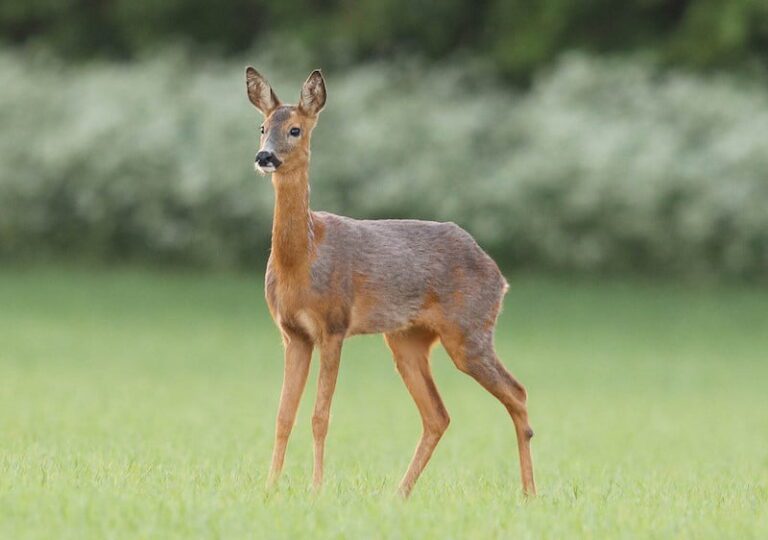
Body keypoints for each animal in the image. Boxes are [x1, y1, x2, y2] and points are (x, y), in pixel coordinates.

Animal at [246, 67, 536, 498]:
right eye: (262, 127)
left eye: (295, 129)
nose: (265, 156)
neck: (303, 259)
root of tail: (499, 277)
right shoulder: (292, 333)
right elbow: (284, 415)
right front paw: (269, 488)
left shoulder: (334, 325)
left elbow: (320, 415)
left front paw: (316, 489)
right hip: (407, 339)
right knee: (438, 415)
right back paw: (399, 494)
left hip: (469, 331)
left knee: (517, 393)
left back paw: (530, 494)